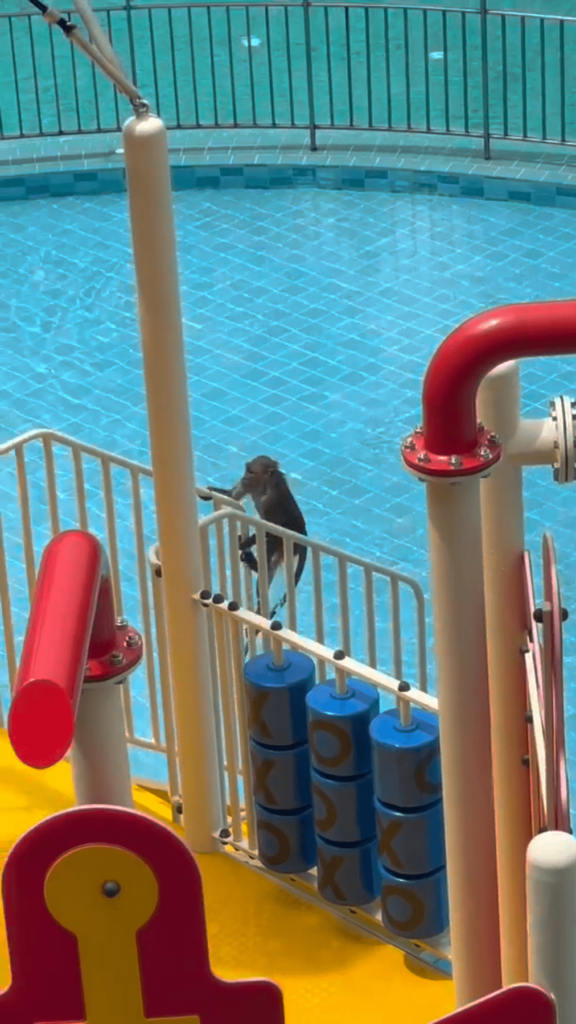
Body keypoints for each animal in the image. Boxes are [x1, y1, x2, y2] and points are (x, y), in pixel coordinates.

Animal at [200, 455, 307, 618]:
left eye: (251, 472)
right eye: (247, 470)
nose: (244, 477)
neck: (263, 486)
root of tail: (304, 533)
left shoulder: (271, 501)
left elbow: (269, 529)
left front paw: (243, 545)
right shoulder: (248, 487)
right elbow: (232, 496)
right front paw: (208, 492)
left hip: (290, 544)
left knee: (271, 544)